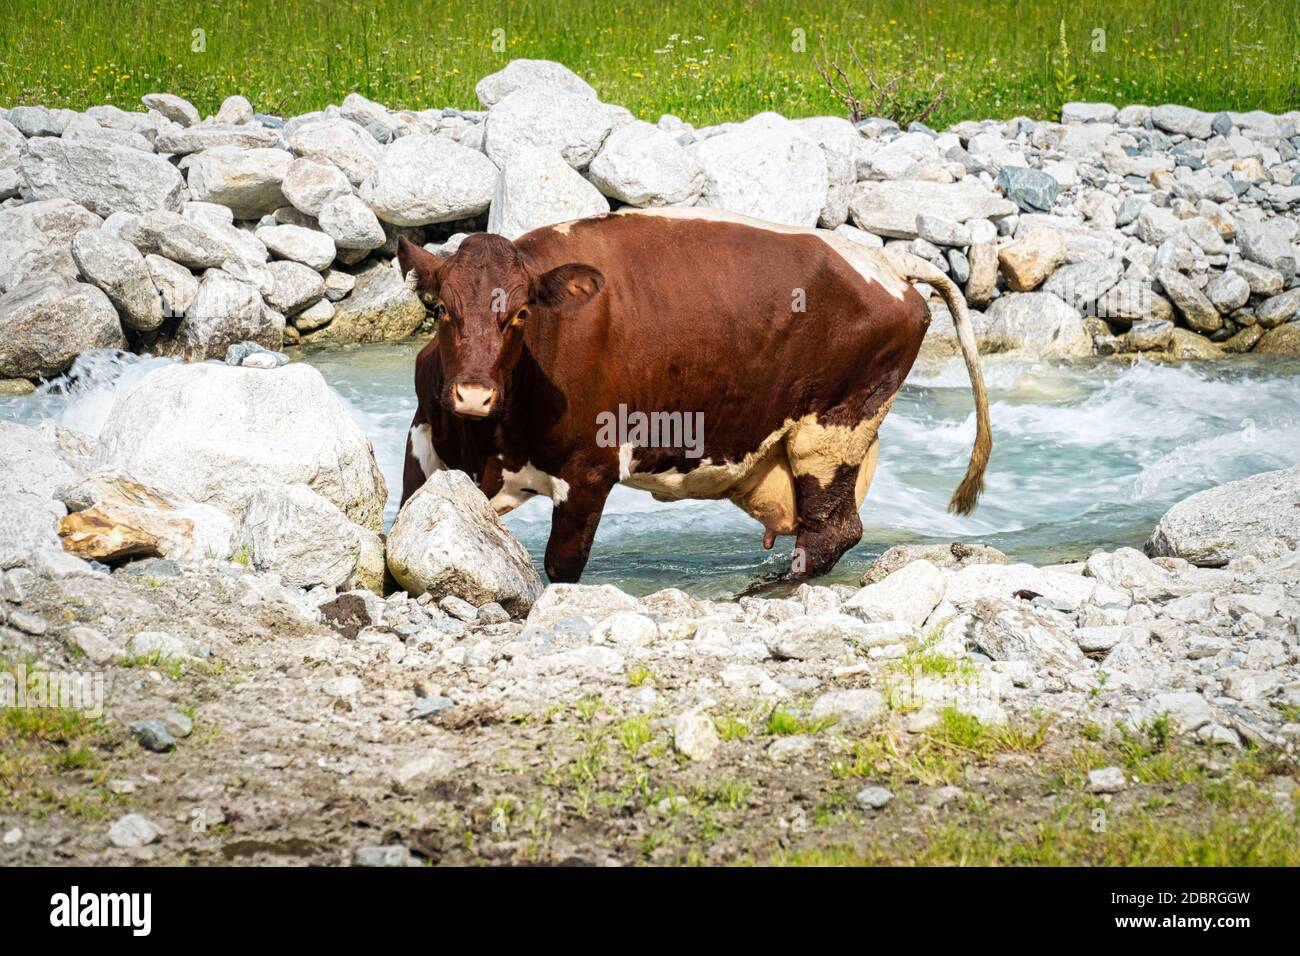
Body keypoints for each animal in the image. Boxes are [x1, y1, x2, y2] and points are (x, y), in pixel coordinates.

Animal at [397, 207, 990, 584]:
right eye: (442, 308)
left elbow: (562, 567)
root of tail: (882, 262)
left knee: (831, 532)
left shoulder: (589, 472)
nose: (473, 394)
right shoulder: (424, 444)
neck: (488, 440)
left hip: (833, 429)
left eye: (521, 313)